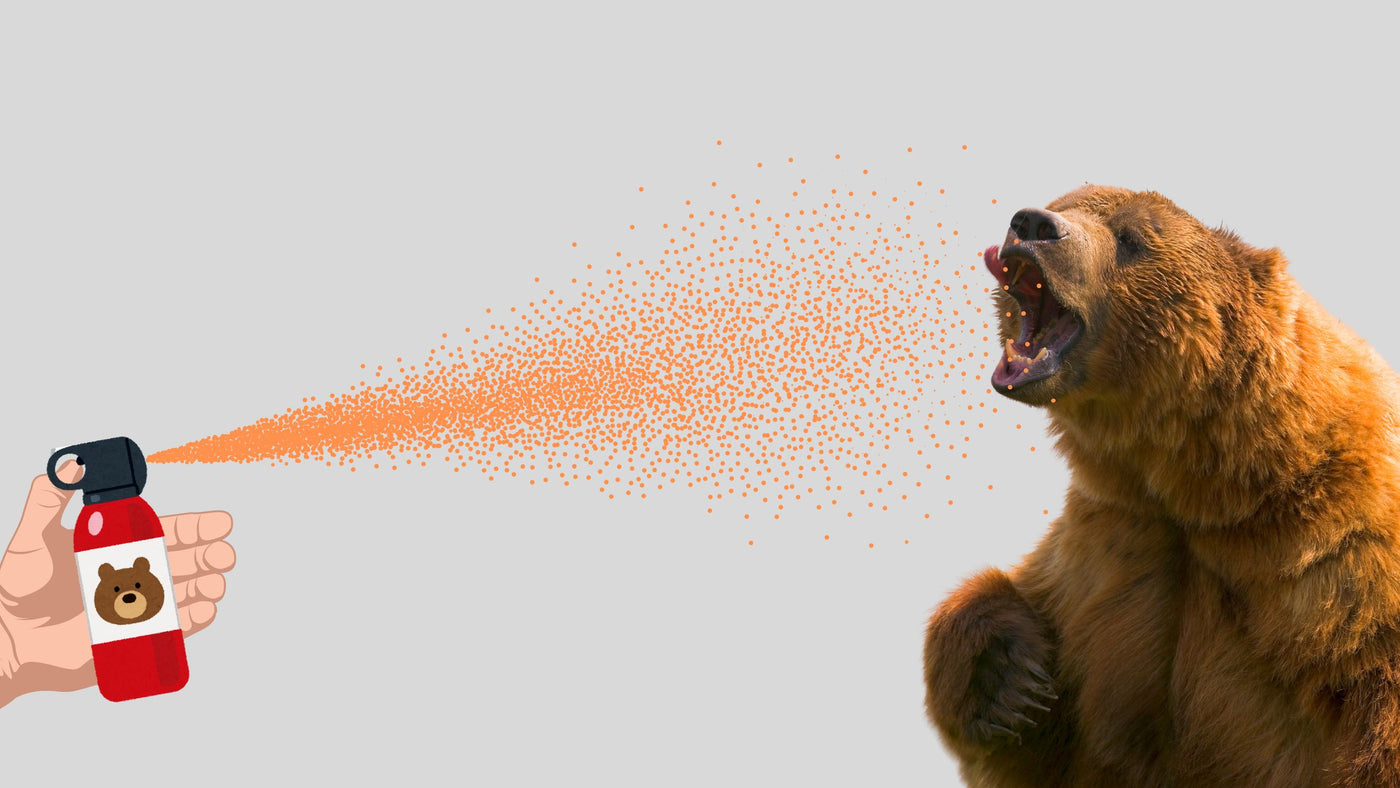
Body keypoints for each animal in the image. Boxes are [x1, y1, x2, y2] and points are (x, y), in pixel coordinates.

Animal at [923, 185, 1400, 787]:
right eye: (1066, 201)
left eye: (1131, 238)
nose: (1032, 224)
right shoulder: (1115, 539)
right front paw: (1008, 676)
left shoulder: (1337, 562)